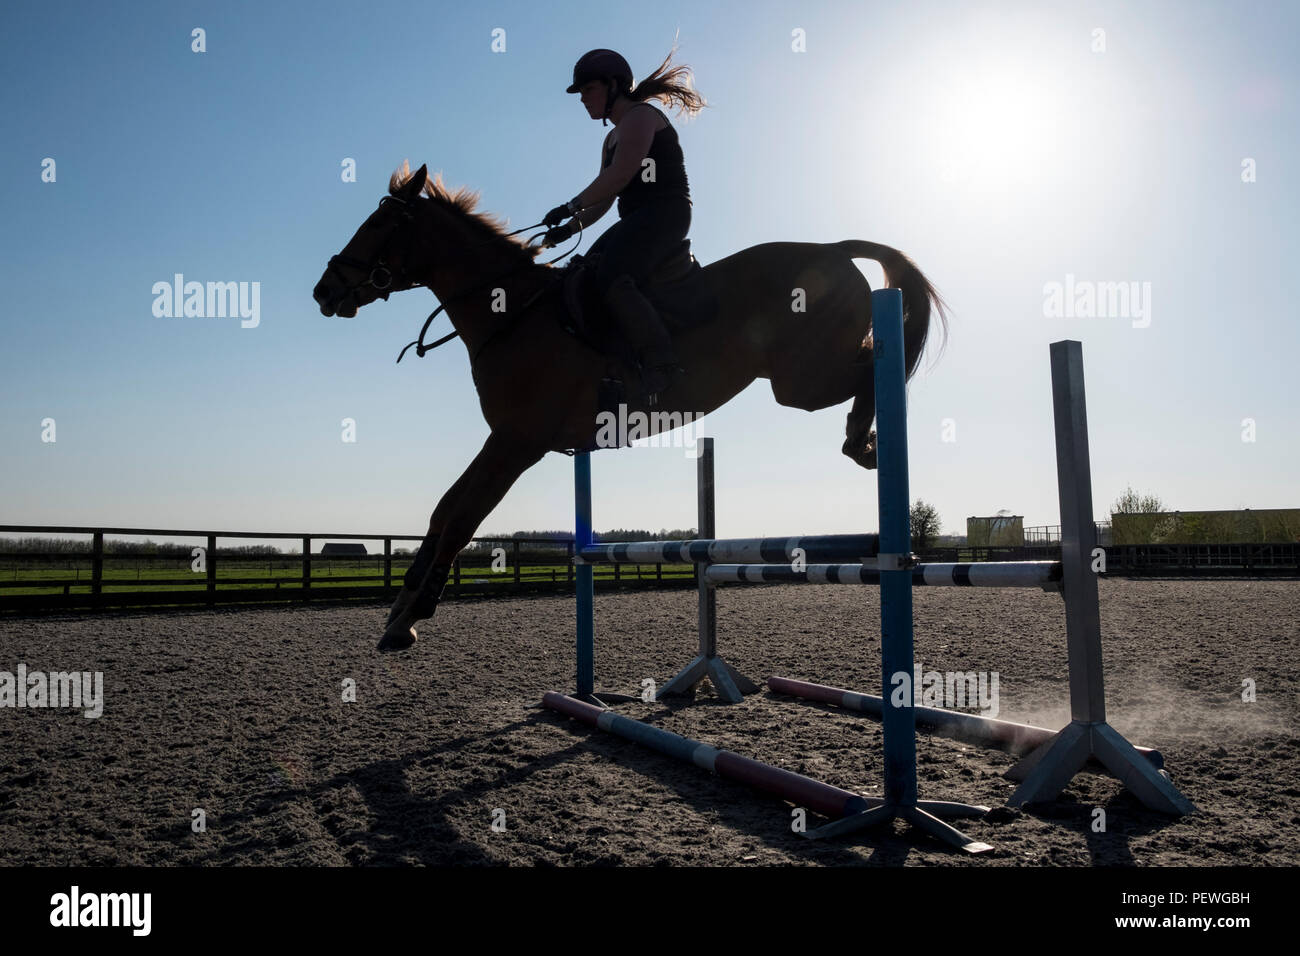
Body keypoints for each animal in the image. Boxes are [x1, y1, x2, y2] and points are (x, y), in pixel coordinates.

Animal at [312, 162, 948, 650]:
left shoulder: (518, 442)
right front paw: (399, 612)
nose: (324, 291)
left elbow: (464, 516)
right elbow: (443, 510)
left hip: (801, 381)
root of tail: (832, 249)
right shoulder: (507, 439)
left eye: (380, 224)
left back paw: (862, 440)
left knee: (873, 367)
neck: (509, 313)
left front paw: (410, 618)